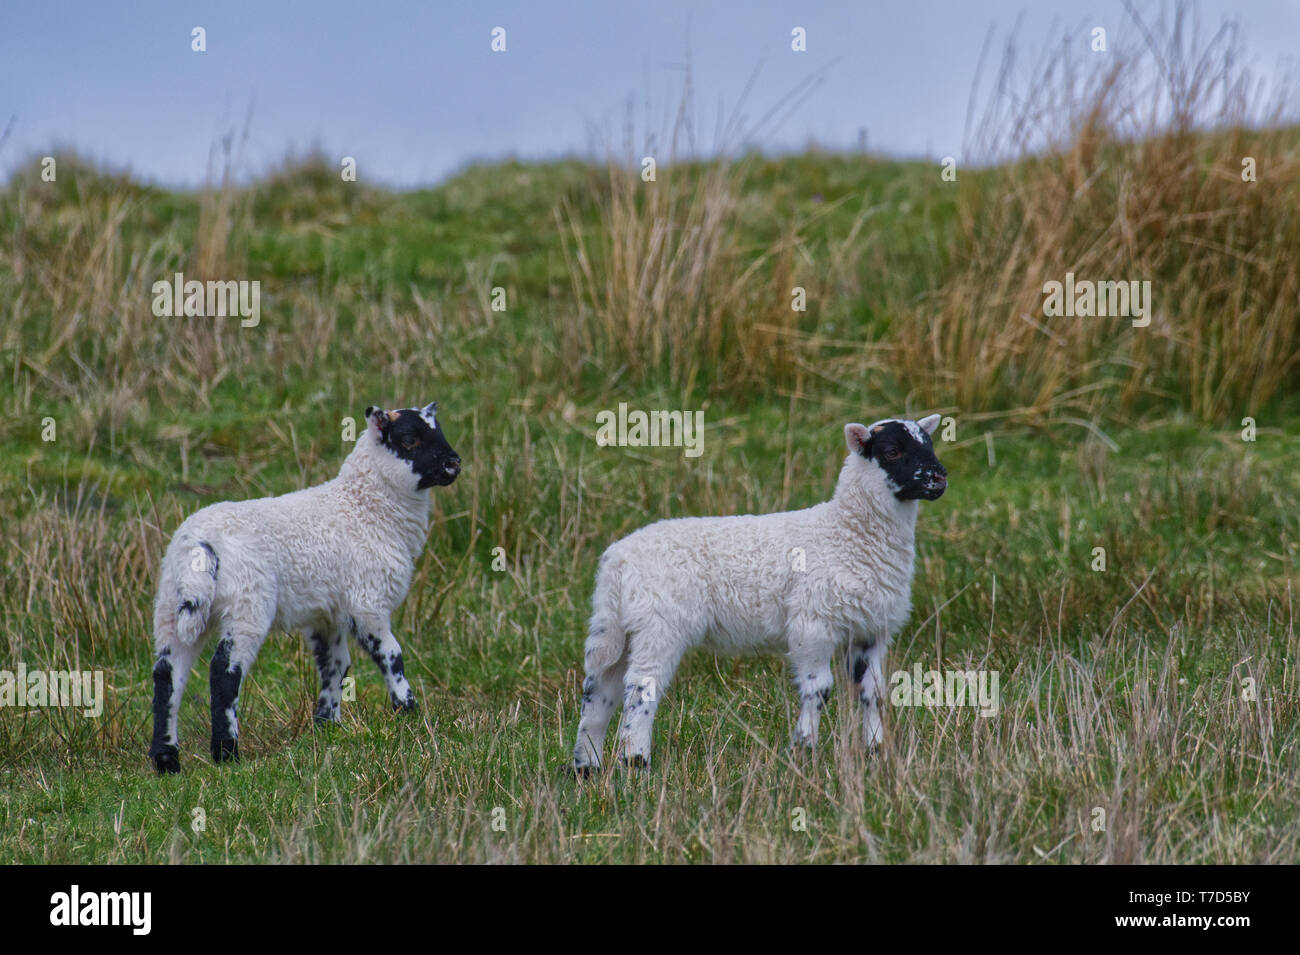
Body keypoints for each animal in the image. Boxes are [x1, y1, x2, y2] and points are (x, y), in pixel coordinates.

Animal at [147, 403, 461, 774]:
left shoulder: (329, 614)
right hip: (247, 605)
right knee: (224, 672)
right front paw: (408, 713)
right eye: (410, 439)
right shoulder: (367, 601)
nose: (454, 463)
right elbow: (391, 655)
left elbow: (335, 666)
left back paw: (167, 759)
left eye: (439, 429)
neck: (366, 507)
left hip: (172, 607)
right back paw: (227, 753)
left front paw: (327, 726)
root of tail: (198, 545)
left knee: (168, 675)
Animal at [571, 414, 947, 772]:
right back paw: (636, 762)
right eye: (892, 451)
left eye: (929, 444)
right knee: (641, 687)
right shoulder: (813, 624)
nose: (940, 477)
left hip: (619, 628)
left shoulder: (871, 630)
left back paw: (586, 766)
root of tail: (618, 560)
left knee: (600, 690)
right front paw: (803, 751)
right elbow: (819, 689)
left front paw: (876, 753)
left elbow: (874, 692)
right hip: (659, 623)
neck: (845, 532)